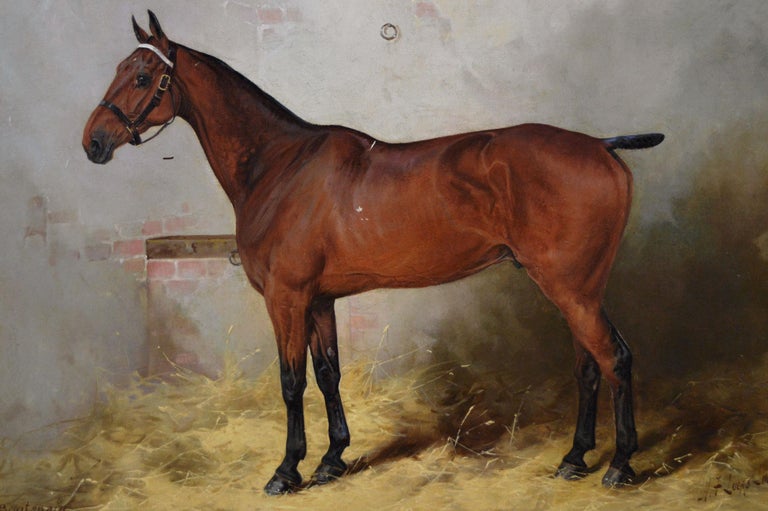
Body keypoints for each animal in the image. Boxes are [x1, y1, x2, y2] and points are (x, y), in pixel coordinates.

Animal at [83, 11, 663, 495]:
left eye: (142, 77)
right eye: (119, 69)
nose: (93, 142)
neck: (279, 165)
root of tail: (601, 146)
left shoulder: (286, 298)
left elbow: (291, 382)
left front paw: (287, 470)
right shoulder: (319, 300)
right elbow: (327, 374)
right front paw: (332, 459)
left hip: (569, 287)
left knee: (614, 358)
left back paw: (619, 465)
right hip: (576, 288)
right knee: (589, 366)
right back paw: (575, 458)